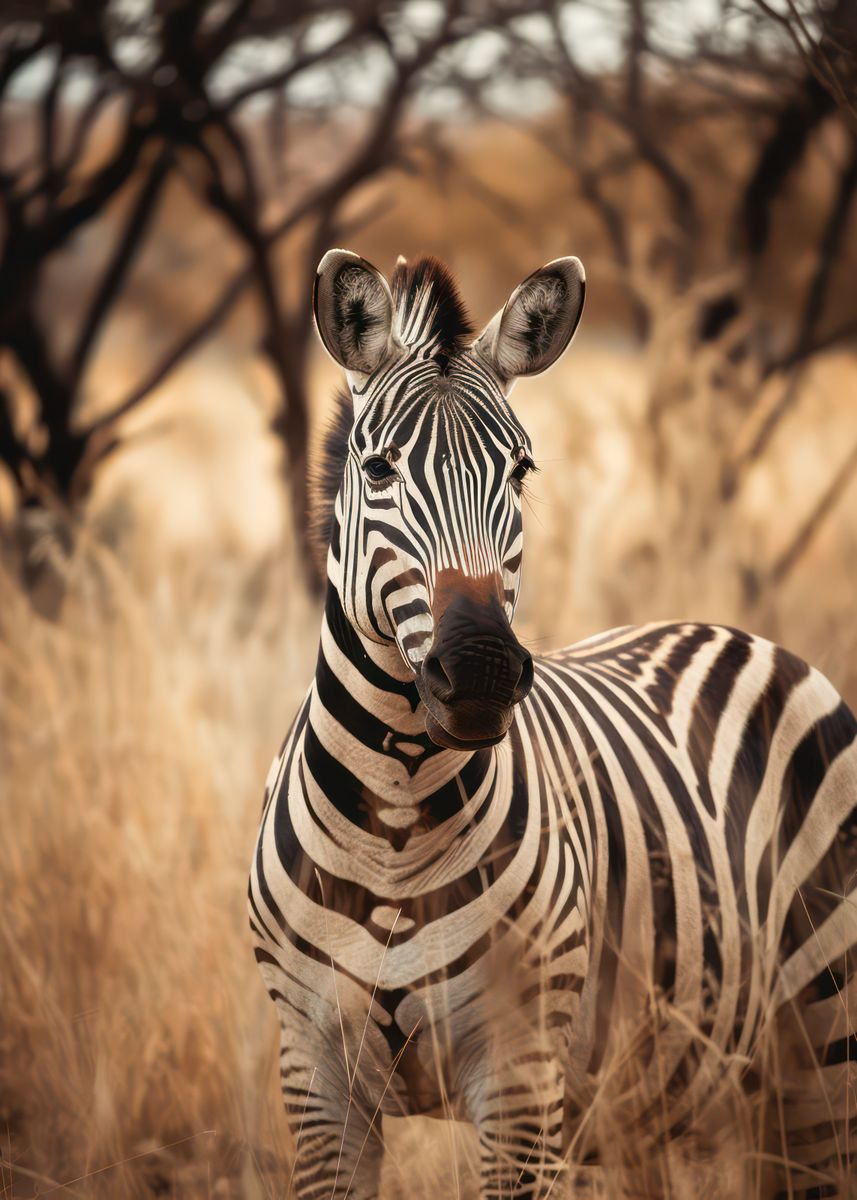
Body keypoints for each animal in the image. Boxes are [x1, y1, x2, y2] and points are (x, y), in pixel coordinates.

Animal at [249, 248, 857, 1198]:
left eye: (521, 472)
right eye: (378, 470)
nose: (482, 673)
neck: (393, 818)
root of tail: (728, 629)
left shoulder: (521, 1079)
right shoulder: (313, 1076)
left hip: (819, 1040)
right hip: (655, 1086)